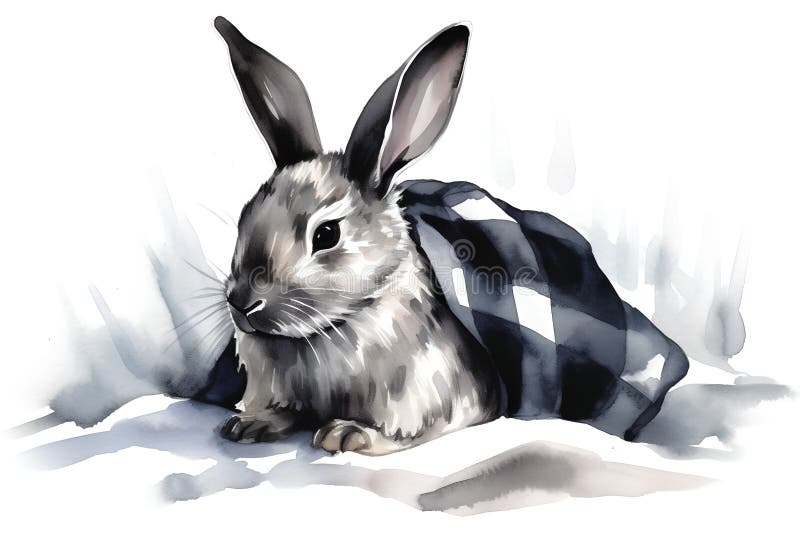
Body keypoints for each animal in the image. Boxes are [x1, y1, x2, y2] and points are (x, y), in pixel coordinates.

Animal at [214, 17, 506, 455]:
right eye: (245, 215)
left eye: (327, 234)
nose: (242, 301)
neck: (335, 324)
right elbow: (283, 410)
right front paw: (251, 424)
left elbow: (405, 433)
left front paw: (346, 434)